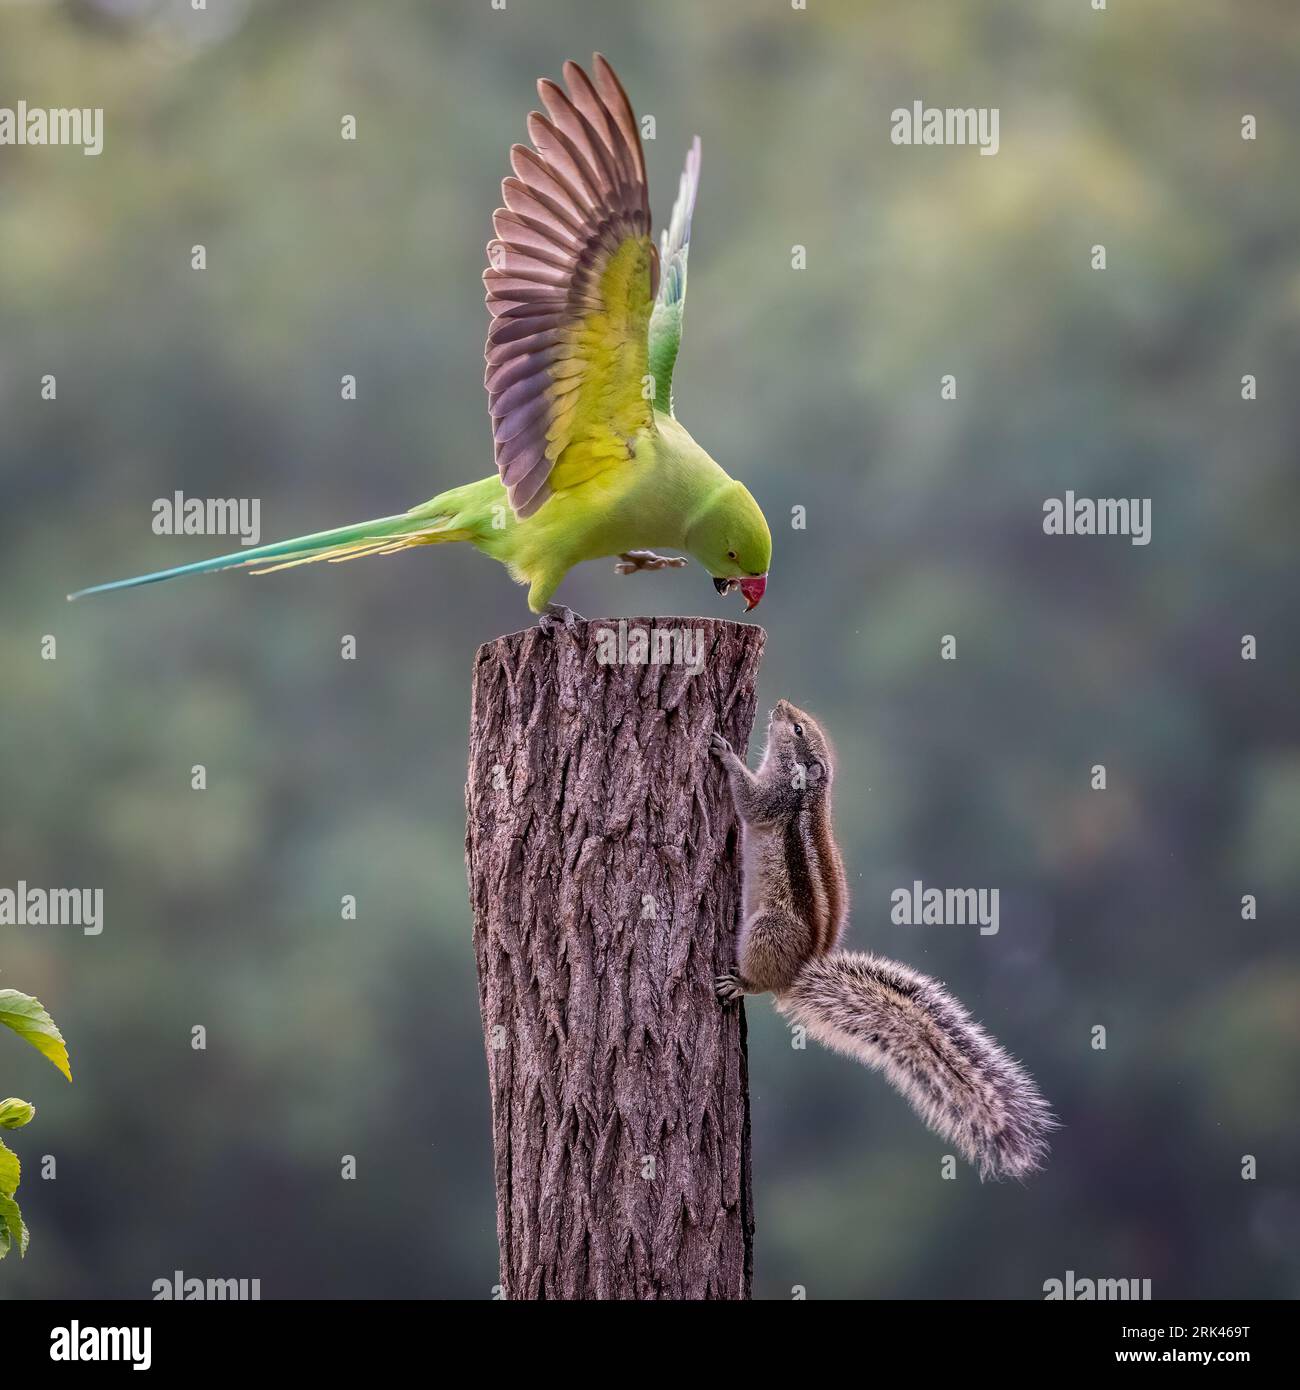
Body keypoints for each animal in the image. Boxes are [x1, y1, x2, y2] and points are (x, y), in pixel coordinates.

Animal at [710, 699, 1055, 1180]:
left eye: (798, 729)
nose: (780, 705)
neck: (810, 789)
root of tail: (800, 973)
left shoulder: (774, 798)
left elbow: (748, 800)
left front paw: (725, 754)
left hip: (767, 929)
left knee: (761, 983)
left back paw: (740, 982)